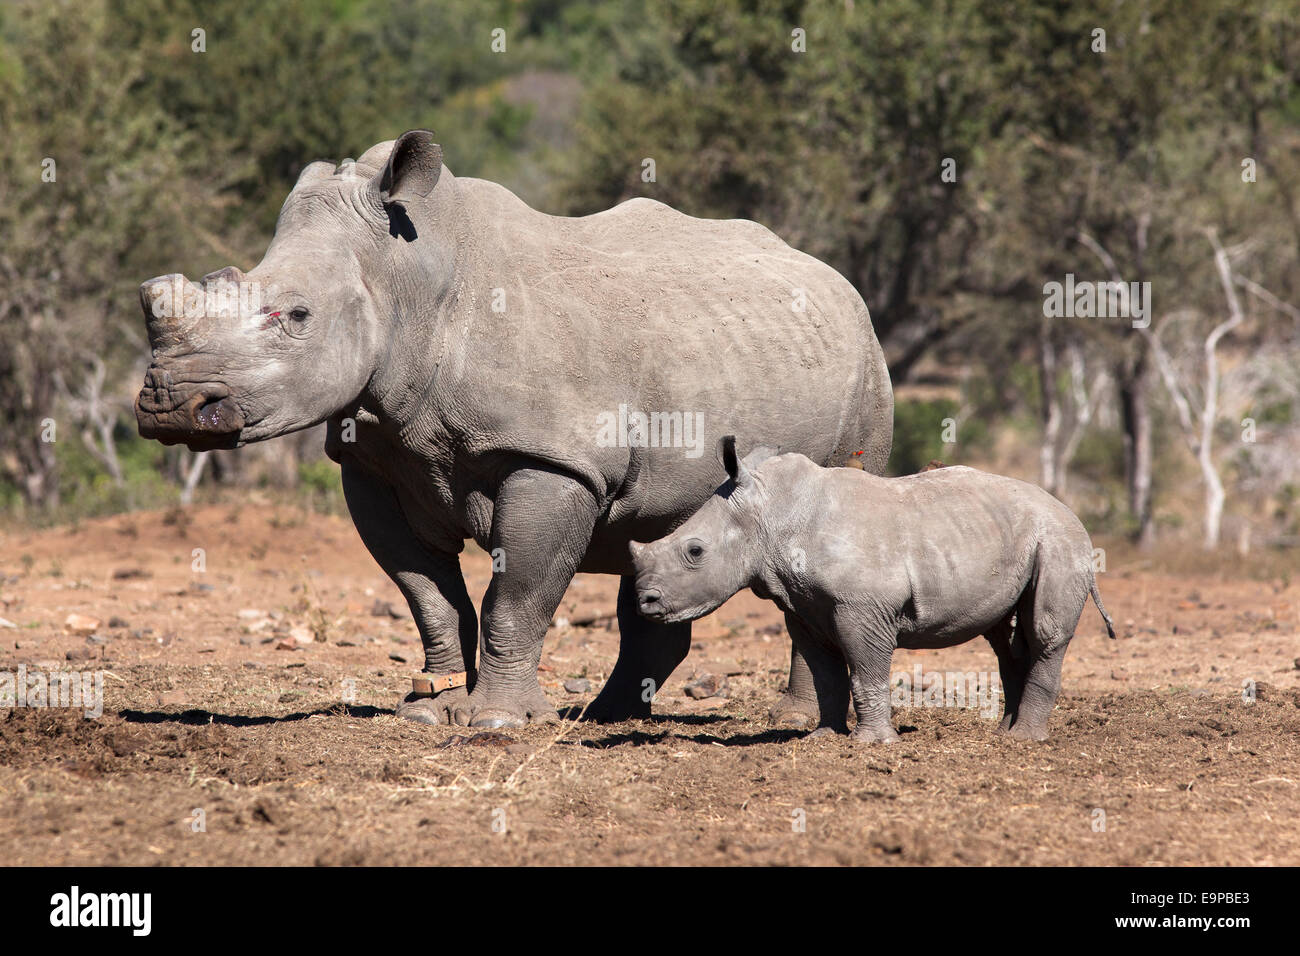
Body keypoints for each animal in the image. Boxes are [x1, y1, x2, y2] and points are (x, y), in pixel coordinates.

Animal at [134, 130, 893, 728]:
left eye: (295, 316)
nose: (171, 405)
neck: (408, 280)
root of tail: (839, 283)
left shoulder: (553, 458)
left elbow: (519, 589)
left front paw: (498, 721)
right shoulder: (374, 459)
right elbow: (426, 592)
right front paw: (429, 711)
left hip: (866, 368)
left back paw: (792, 722)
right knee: (650, 535)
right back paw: (604, 716)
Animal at [629, 438, 1116, 742]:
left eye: (695, 551)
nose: (645, 602)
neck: (773, 514)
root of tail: (1070, 513)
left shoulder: (864, 607)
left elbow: (866, 669)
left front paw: (874, 744)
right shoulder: (804, 606)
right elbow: (824, 671)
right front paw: (825, 738)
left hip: (1061, 542)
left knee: (1044, 633)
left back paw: (1025, 741)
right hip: (1016, 537)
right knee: (1004, 638)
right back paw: (1004, 735)